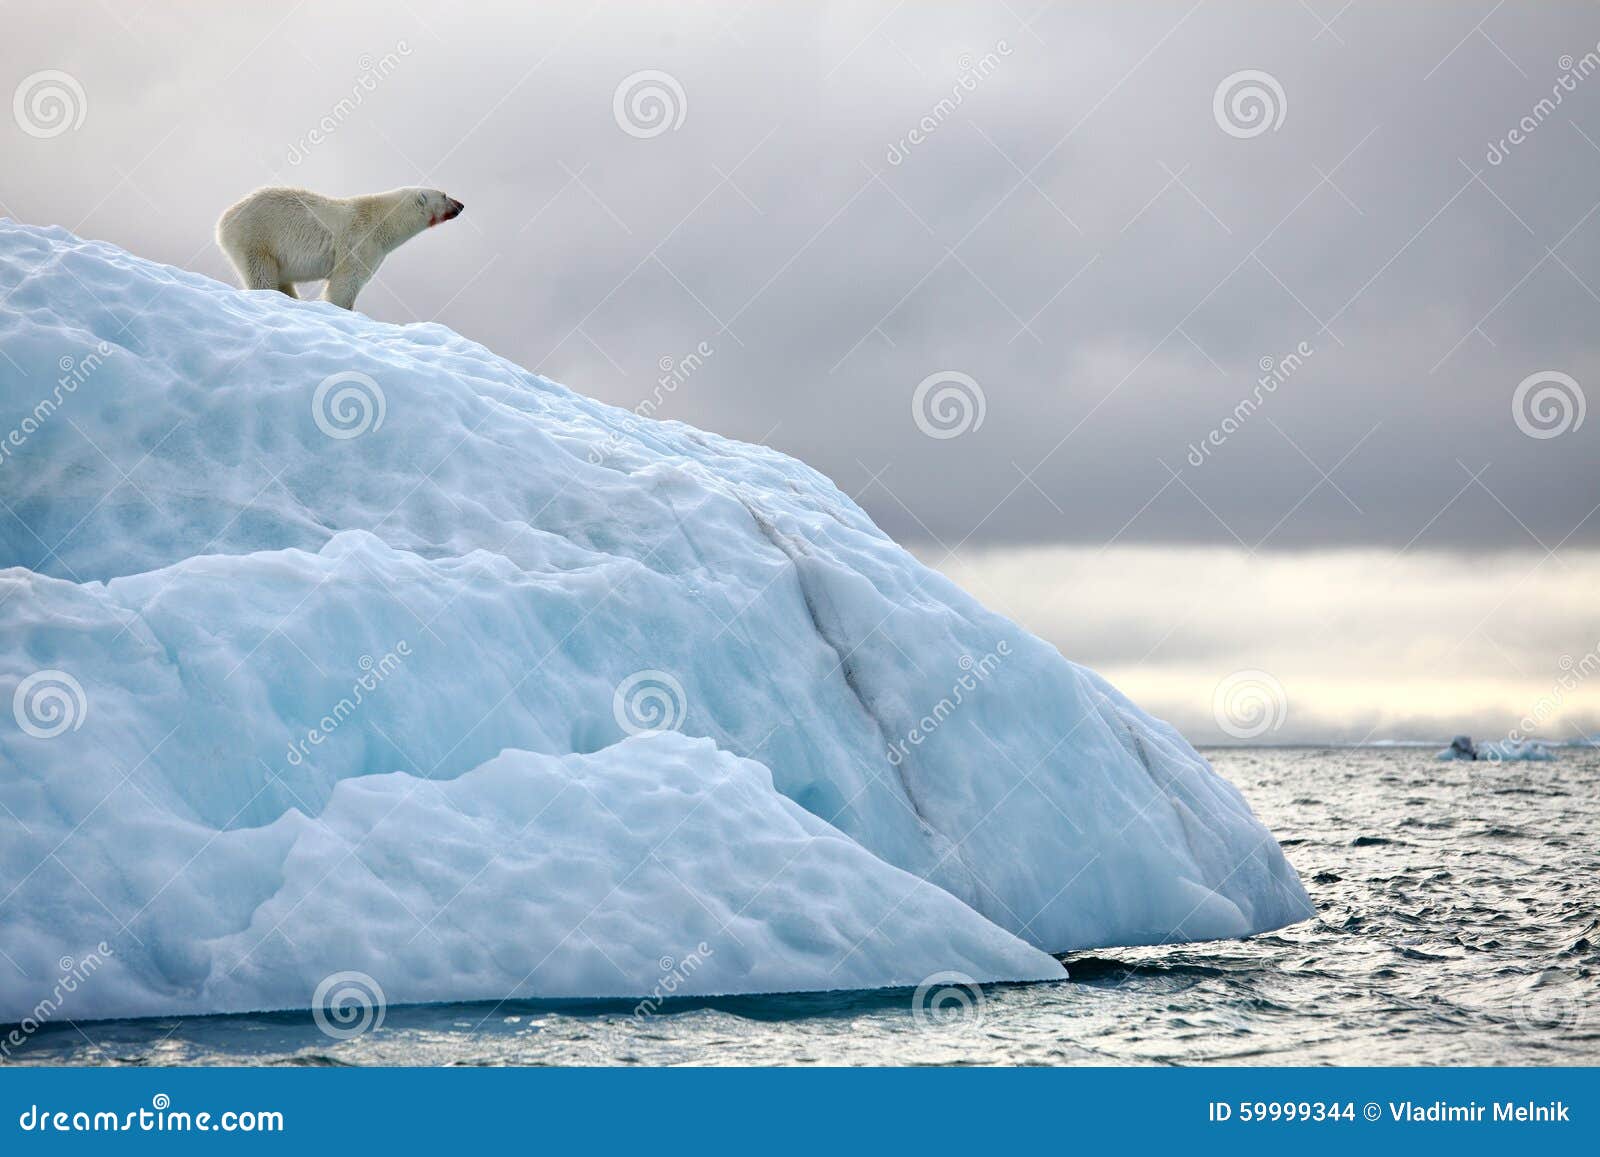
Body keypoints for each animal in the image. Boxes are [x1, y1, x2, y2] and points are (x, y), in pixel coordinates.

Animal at [215, 186, 464, 310]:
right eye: (444, 195)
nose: (461, 205)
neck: (383, 220)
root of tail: (223, 219)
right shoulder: (360, 241)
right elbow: (346, 282)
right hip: (257, 237)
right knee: (261, 273)